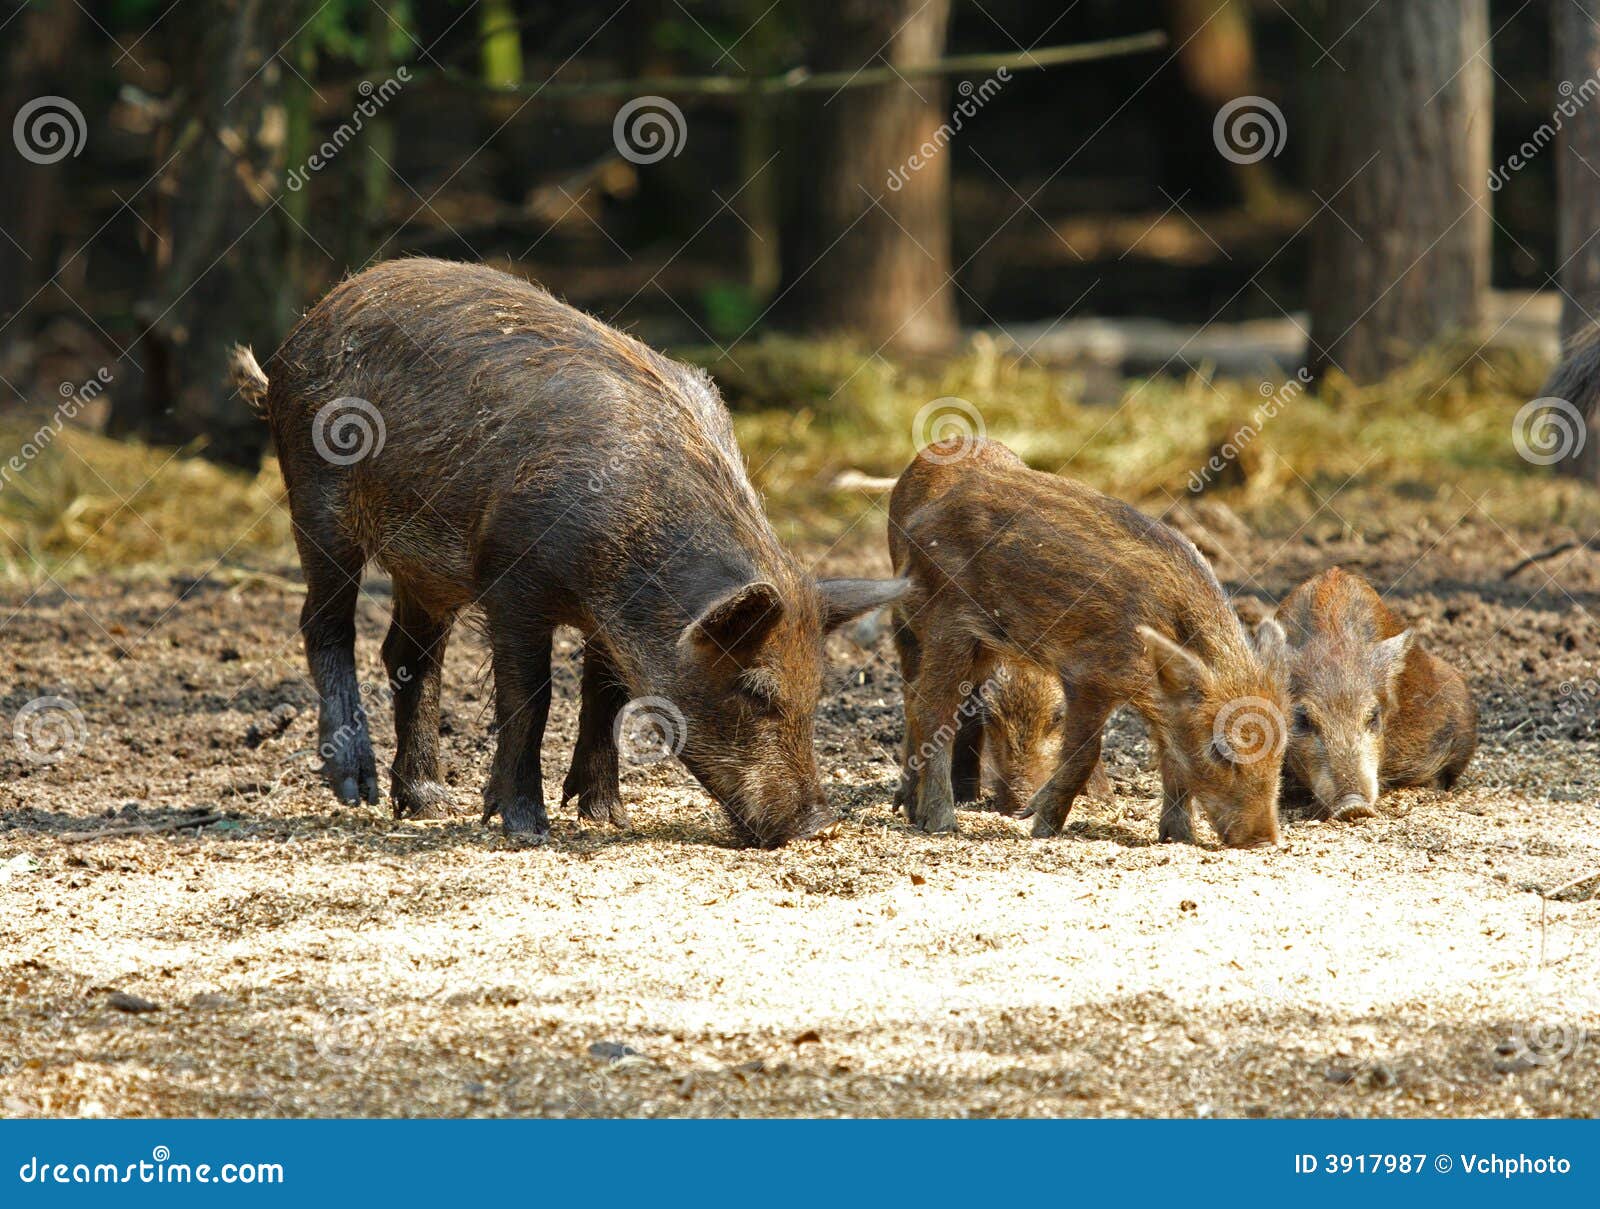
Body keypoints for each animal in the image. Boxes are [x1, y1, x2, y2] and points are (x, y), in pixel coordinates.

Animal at [229, 258, 904, 847]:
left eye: (817, 687)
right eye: (755, 689)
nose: (818, 824)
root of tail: (293, 344)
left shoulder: (609, 618)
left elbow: (607, 696)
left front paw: (606, 818)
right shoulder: (511, 583)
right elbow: (533, 697)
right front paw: (526, 827)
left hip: (424, 571)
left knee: (407, 655)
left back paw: (426, 803)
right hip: (317, 506)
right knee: (325, 627)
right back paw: (358, 791)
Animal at [887, 438, 1290, 847]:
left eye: (1281, 750)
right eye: (1219, 749)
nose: (1264, 839)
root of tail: (921, 520)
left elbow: (1171, 757)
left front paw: (1178, 837)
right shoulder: (1086, 677)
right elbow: (1085, 753)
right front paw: (1041, 828)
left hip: (985, 645)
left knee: (918, 702)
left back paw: (911, 810)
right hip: (948, 625)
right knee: (931, 711)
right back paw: (941, 823)